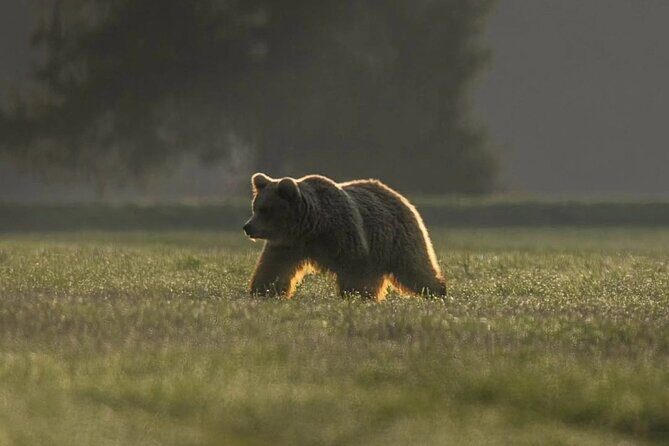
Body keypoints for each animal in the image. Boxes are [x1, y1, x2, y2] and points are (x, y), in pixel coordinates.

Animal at [243, 173, 446, 300]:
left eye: (265, 209)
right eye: (255, 207)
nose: (247, 227)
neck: (311, 227)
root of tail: (399, 196)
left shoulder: (344, 235)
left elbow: (355, 268)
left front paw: (355, 295)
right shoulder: (288, 245)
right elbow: (273, 268)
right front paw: (262, 291)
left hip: (397, 239)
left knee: (416, 268)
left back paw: (437, 291)